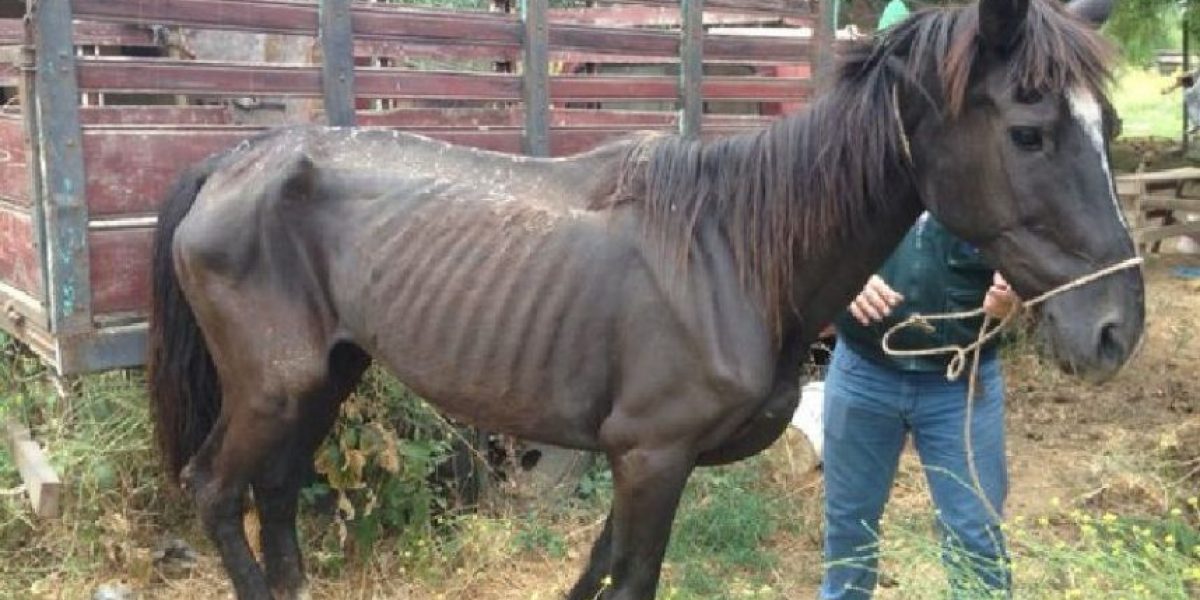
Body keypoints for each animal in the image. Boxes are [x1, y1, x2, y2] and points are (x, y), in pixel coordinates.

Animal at [147, 0, 1140, 597]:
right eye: (1029, 132)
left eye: (1113, 127)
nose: (1115, 328)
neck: (735, 255)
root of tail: (235, 161)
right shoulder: (652, 458)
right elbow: (630, 577)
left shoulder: (641, 466)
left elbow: (598, 571)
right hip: (271, 389)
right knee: (216, 489)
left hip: (329, 376)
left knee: (275, 491)